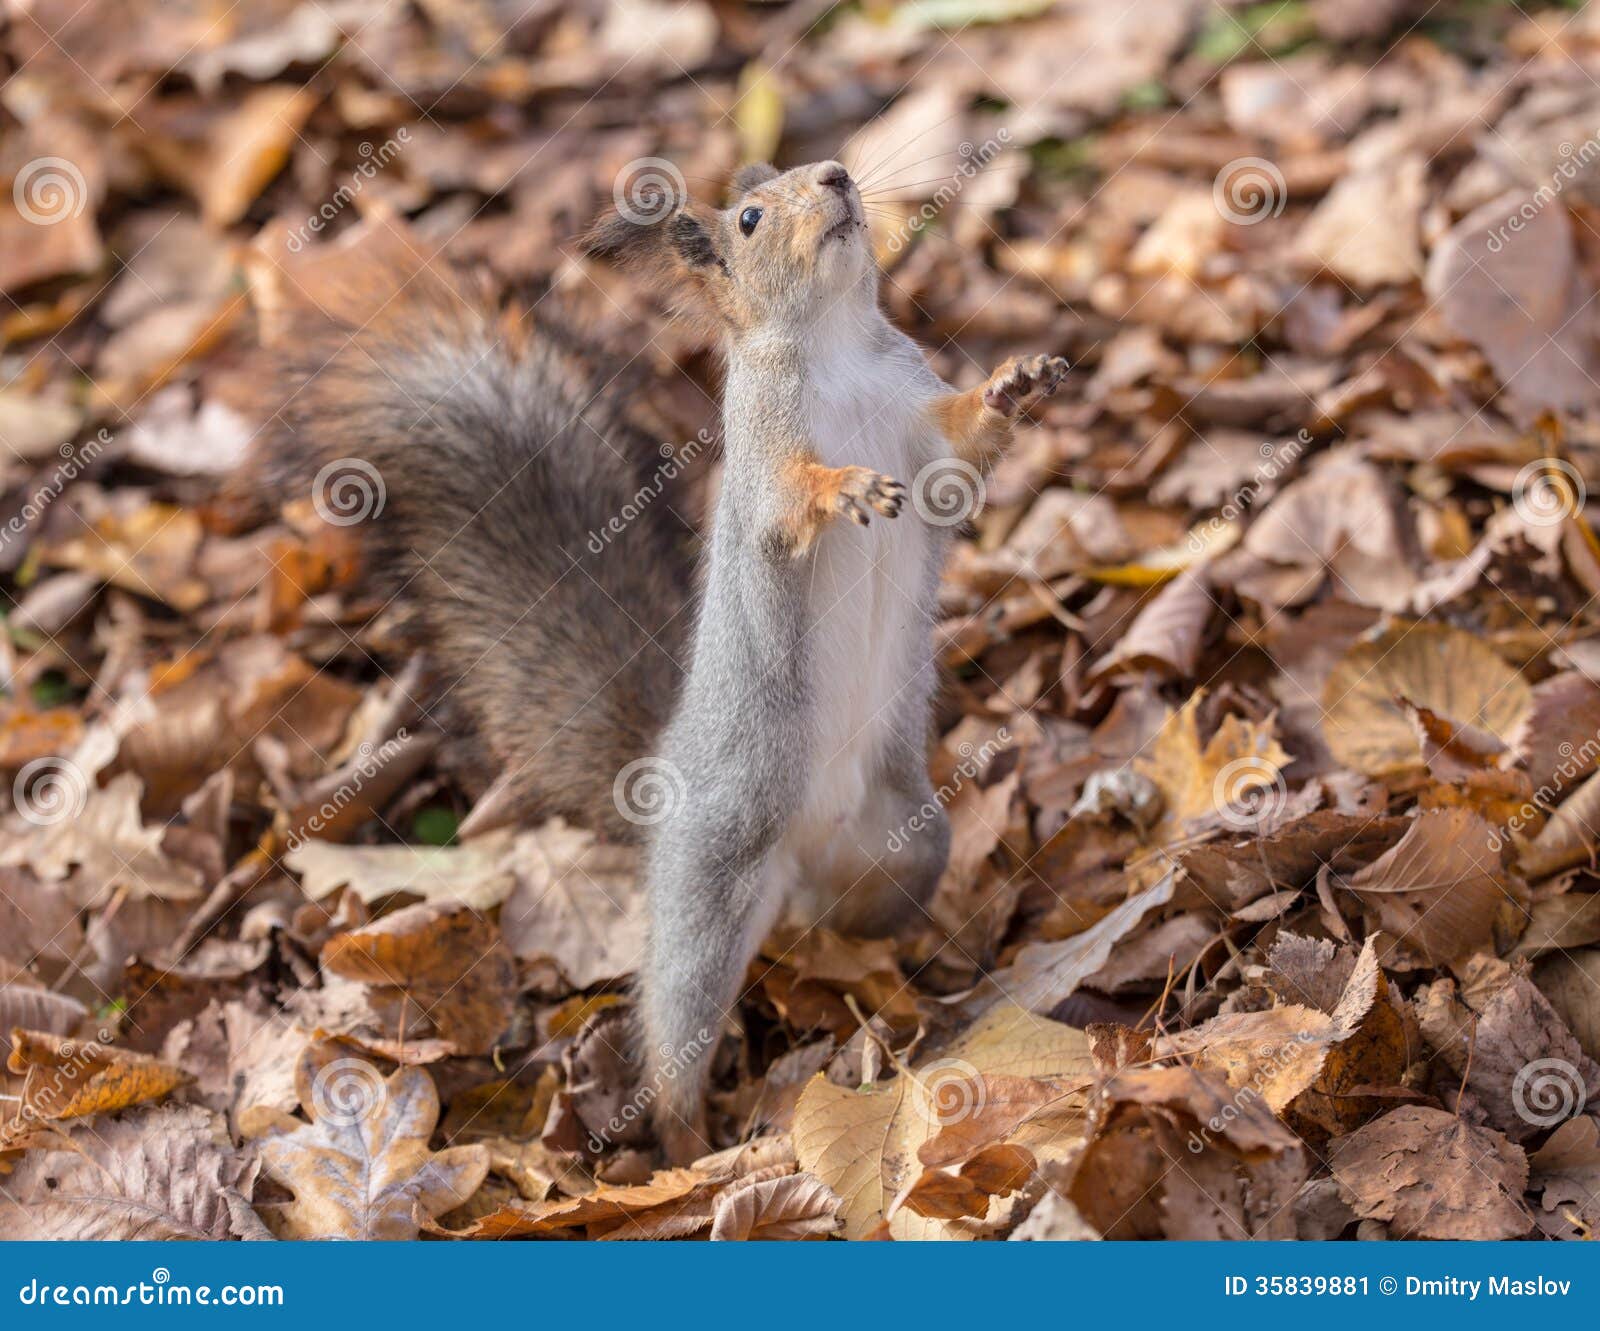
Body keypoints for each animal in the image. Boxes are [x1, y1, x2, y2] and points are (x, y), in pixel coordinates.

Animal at [247, 159, 1066, 1163]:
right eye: (749, 218)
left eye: (825, 166)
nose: (838, 175)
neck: (834, 344)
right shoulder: (762, 455)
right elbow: (792, 500)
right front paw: (843, 488)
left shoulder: (921, 421)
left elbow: (961, 453)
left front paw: (1014, 383)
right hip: (709, 883)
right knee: (675, 1026)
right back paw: (689, 1145)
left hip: (907, 842)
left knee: (844, 916)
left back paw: (914, 959)